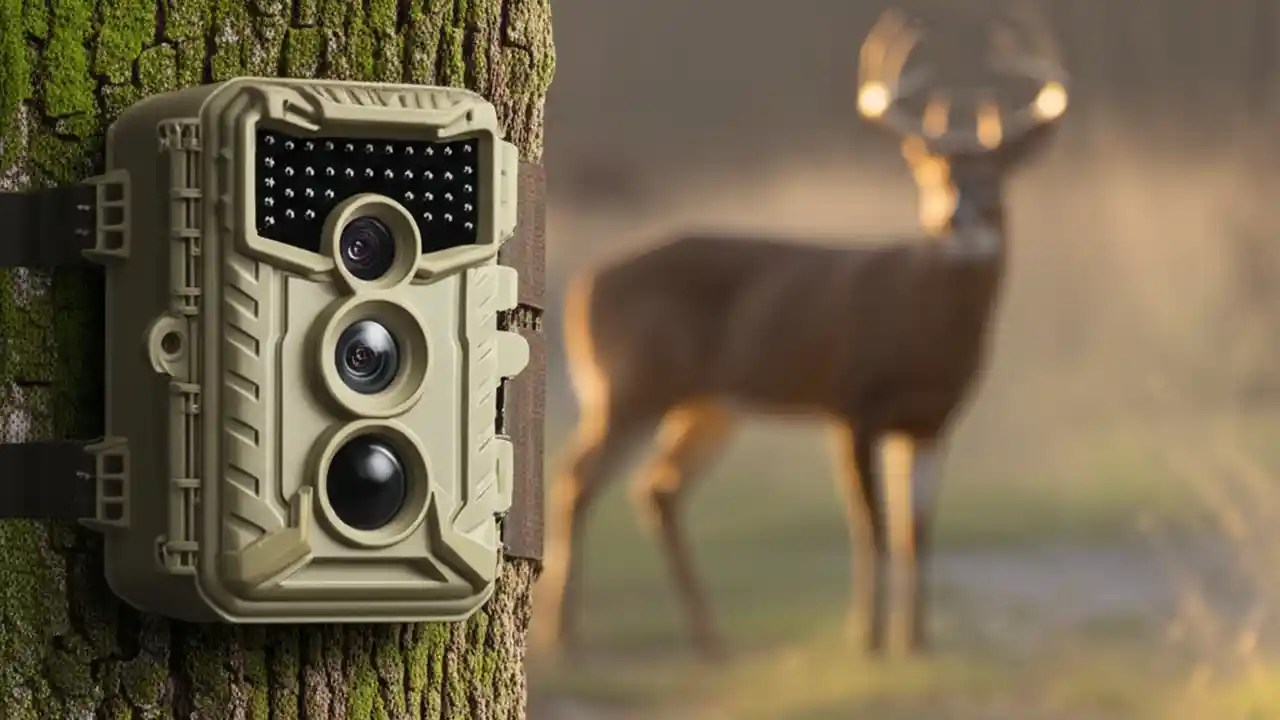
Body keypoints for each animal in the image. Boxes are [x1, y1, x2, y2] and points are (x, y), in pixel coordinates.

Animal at [537, 9, 1071, 660]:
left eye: (995, 180)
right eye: (932, 173)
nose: (954, 220)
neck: (924, 333)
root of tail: (582, 286)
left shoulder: (933, 423)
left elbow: (917, 534)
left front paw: (916, 643)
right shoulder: (853, 403)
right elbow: (872, 529)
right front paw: (868, 640)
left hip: (708, 404)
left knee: (656, 487)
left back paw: (708, 636)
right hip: (632, 382)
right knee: (577, 478)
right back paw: (564, 635)